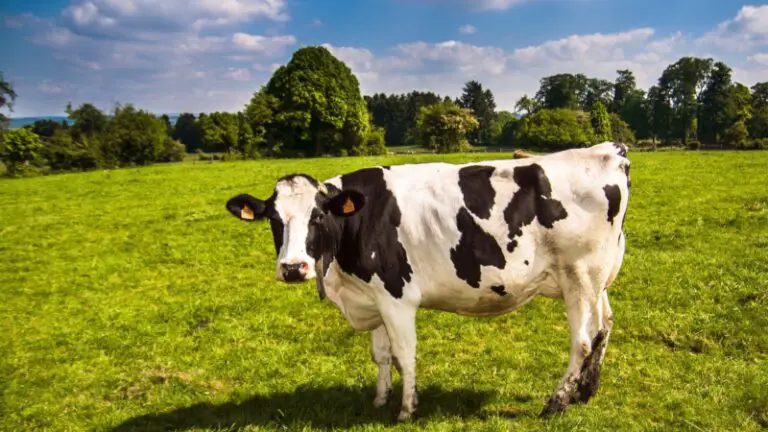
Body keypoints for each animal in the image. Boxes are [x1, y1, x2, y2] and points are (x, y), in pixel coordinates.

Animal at [224, 141, 631, 420]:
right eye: (274, 219)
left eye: (319, 216)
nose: (293, 268)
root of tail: (609, 149)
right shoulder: (373, 296)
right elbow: (381, 354)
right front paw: (380, 398)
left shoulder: (396, 296)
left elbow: (404, 354)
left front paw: (406, 408)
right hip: (597, 277)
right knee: (604, 325)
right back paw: (585, 391)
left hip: (579, 275)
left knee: (582, 340)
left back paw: (557, 402)